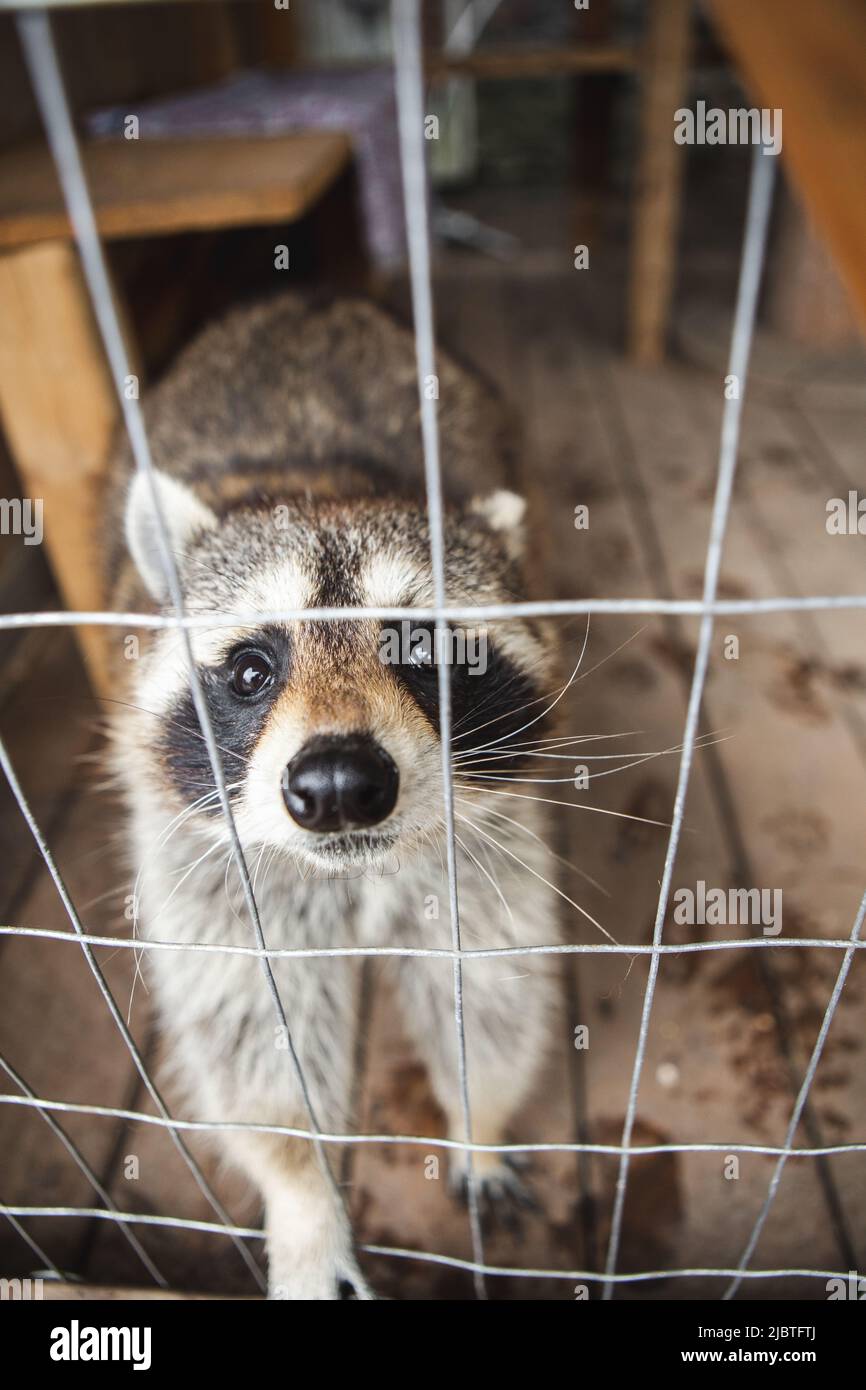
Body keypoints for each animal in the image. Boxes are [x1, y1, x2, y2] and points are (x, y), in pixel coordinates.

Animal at [105, 293, 564, 1299]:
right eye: (251, 670)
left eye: (425, 652)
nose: (341, 785)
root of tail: (301, 297)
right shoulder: (208, 865)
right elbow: (254, 1039)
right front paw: (302, 1196)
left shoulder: (486, 844)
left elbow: (487, 988)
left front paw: (478, 1119)